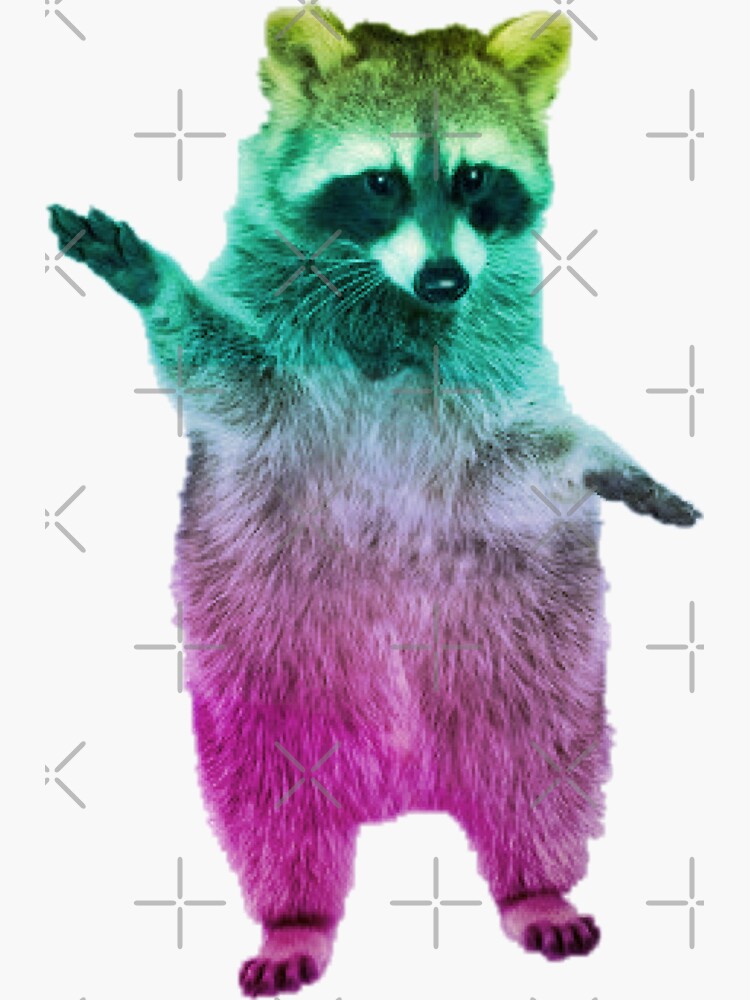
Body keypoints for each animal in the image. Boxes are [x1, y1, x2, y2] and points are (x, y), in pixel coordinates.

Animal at [49, 8, 701, 995]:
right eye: (381, 181)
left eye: (474, 177)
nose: (445, 279)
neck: (392, 297)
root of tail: (410, 782)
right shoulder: (284, 380)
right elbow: (227, 377)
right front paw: (156, 282)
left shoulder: (489, 392)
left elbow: (522, 456)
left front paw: (602, 455)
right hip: (265, 667)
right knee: (272, 804)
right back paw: (295, 913)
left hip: (535, 644)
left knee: (542, 766)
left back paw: (535, 883)